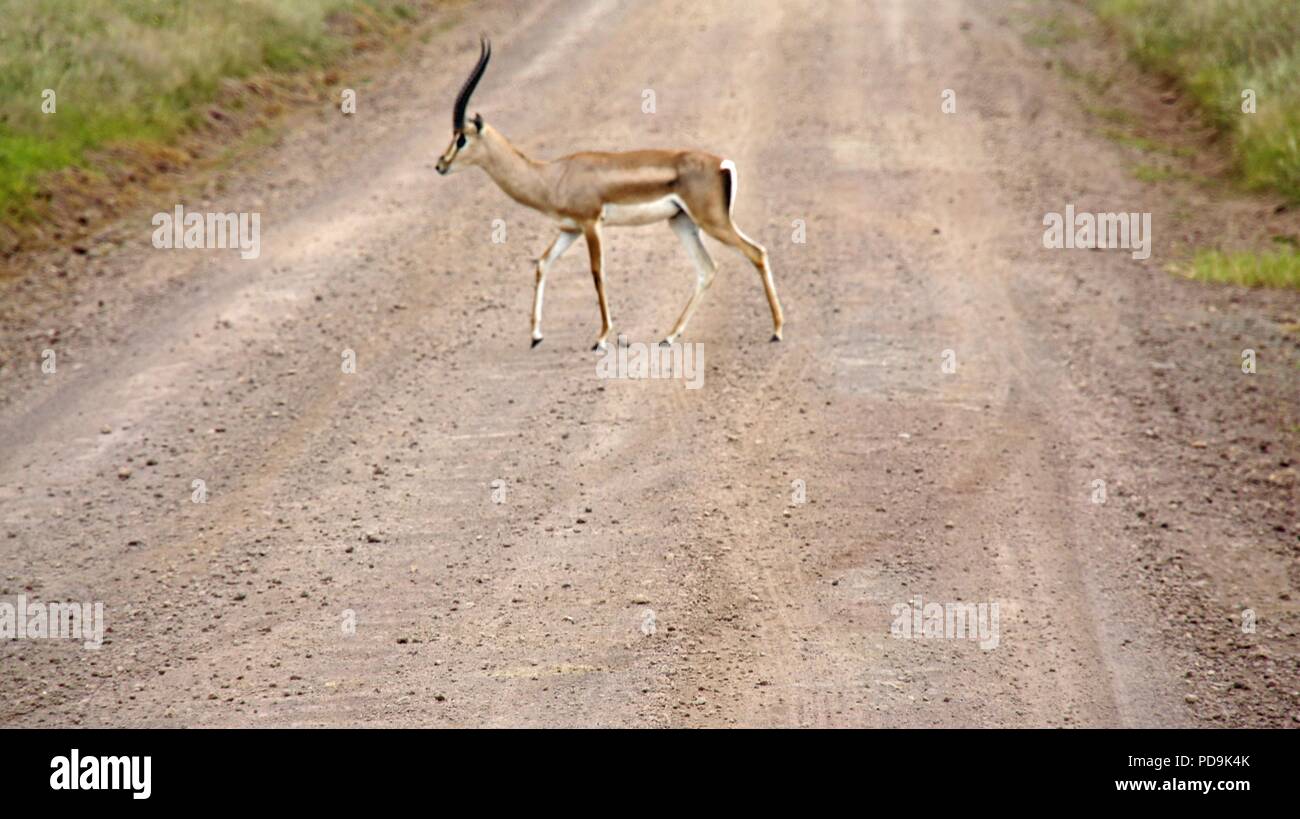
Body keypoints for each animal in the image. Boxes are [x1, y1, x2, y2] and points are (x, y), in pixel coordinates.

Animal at [436, 37, 784, 350]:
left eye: (461, 138)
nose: (440, 164)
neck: (553, 176)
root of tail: (722, 163)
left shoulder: (591, 224)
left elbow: (596, 272)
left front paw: (601, 337)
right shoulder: (570, 229)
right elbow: (542, 264)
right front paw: (535, 336)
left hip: (712, 221)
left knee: (756, 252)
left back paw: (777, 331)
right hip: (681, 222)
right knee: (707, 269)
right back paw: (669, 336)